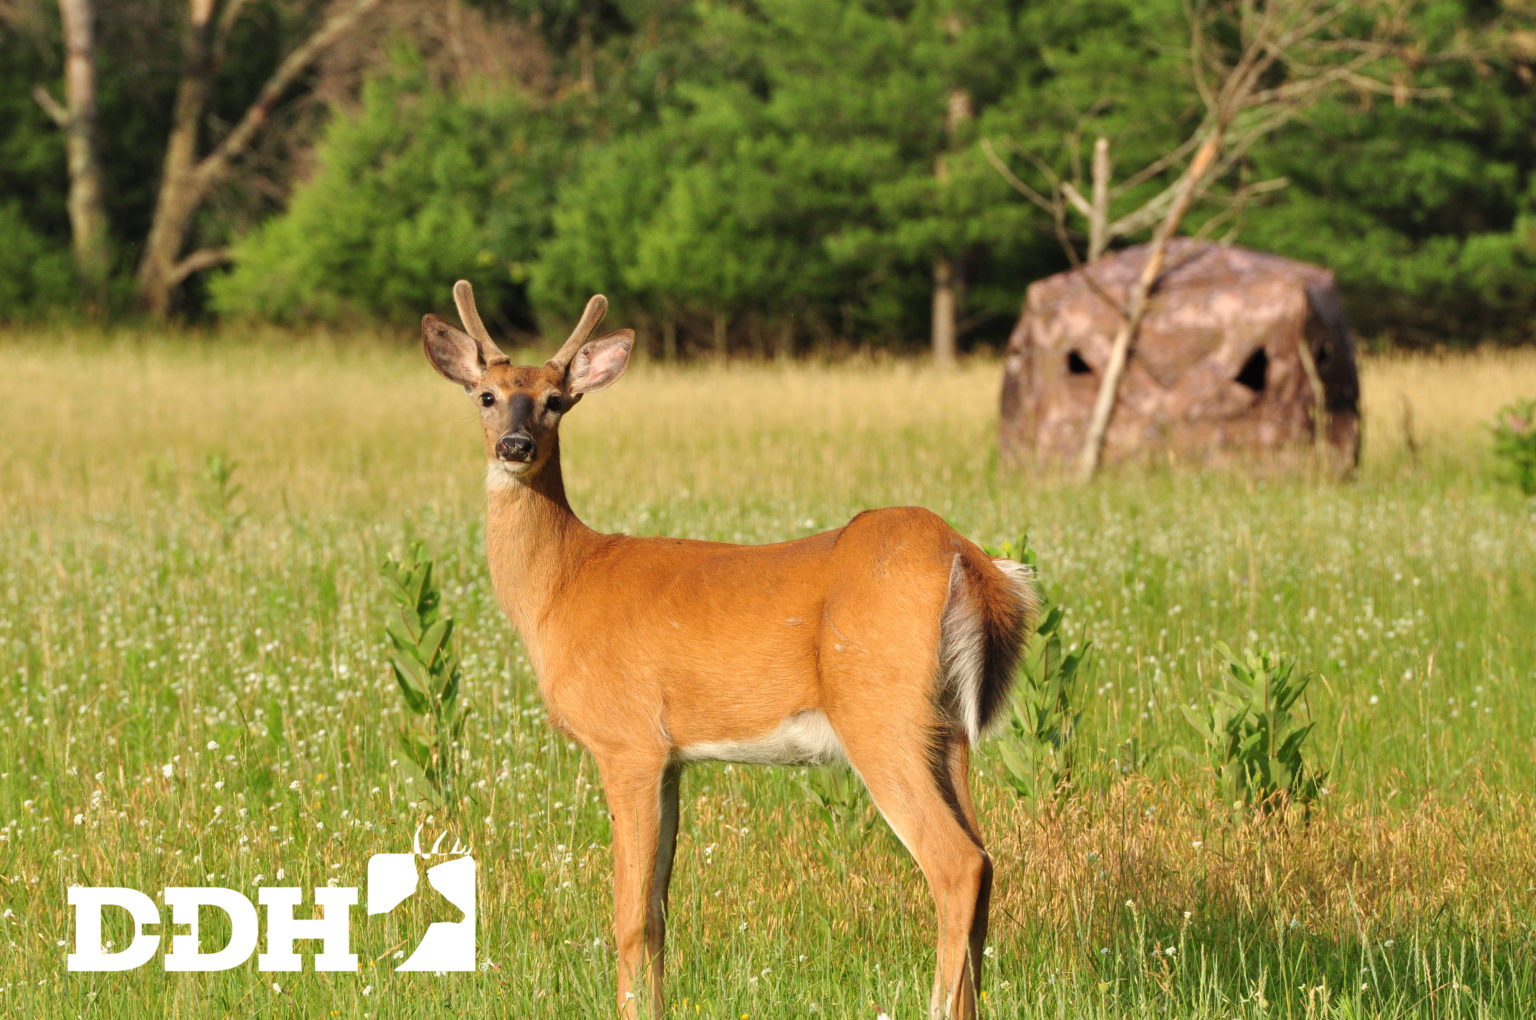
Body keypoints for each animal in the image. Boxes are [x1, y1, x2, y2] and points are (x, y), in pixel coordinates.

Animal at [420, 281, 1039, 1020]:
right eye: (486, 395)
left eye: (555, 400)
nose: (515, 445)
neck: (562, 587)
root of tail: (967, 559)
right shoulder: (671, 758)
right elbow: (659, 912)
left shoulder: (626, 739)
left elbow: (628, 916)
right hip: (947, 729)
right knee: (986, 860)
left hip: (877, 710)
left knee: (958, 863)